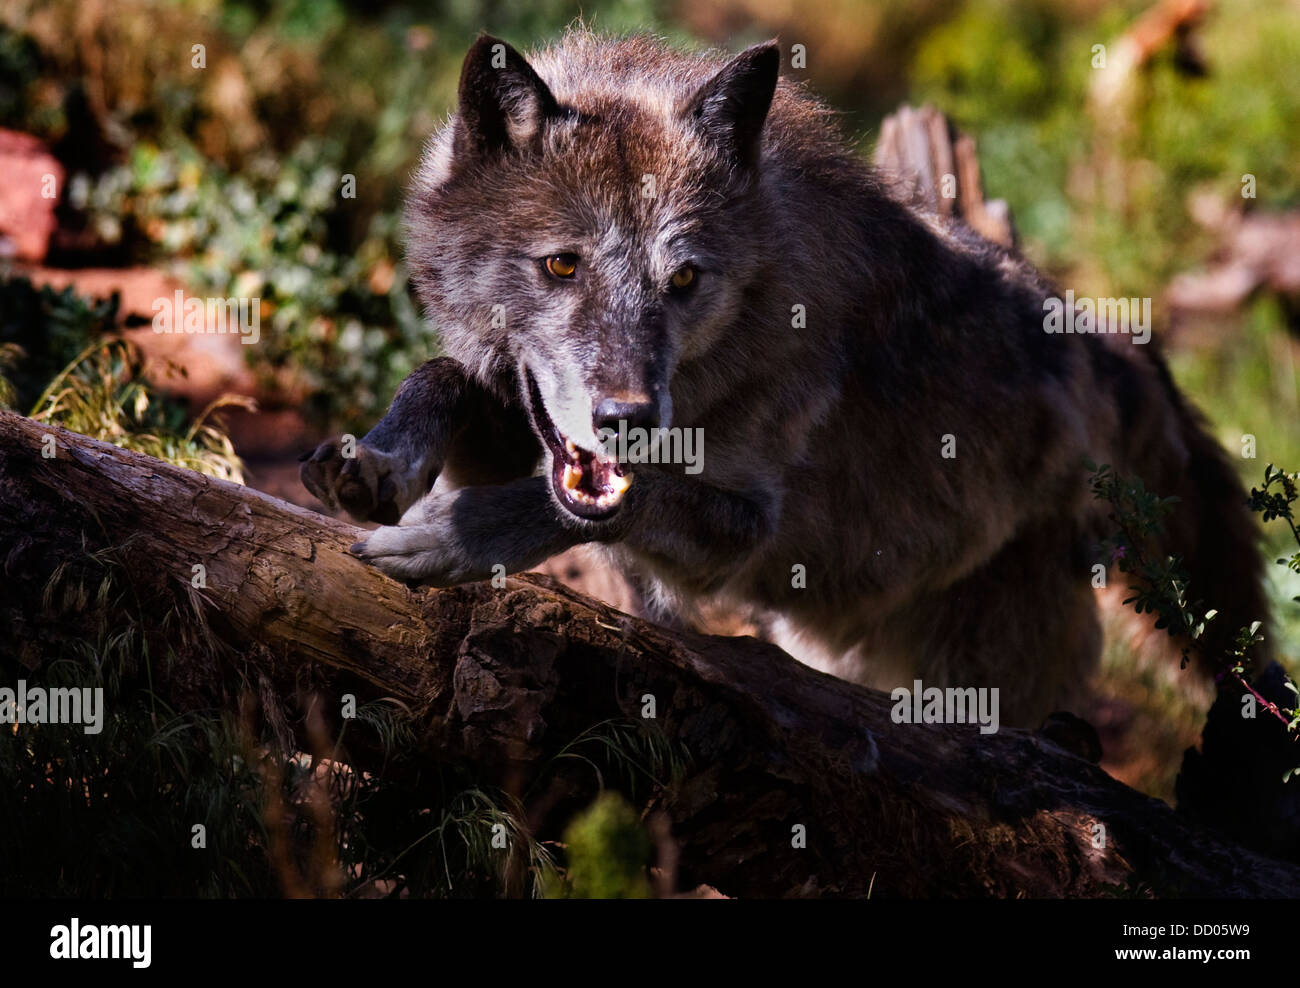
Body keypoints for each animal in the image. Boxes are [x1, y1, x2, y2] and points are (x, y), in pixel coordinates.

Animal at [301, 30, 1266, 726]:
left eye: (685, 280)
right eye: (562, 266)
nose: (629, 417)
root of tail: (1121, 351)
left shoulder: (742, 528)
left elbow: (600, 499)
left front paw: (452, 536)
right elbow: (444, 375)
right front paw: (378, 459)